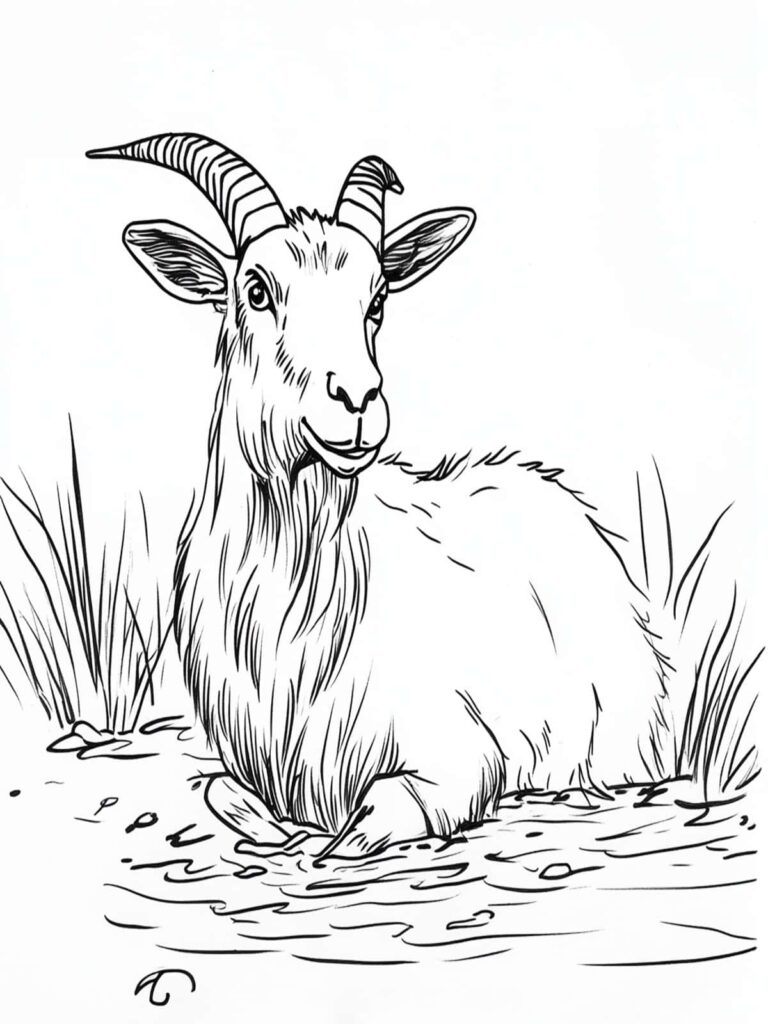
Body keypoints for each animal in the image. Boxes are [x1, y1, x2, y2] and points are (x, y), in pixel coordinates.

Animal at [88, 133, 672, 855]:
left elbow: (366, 821)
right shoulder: (254, 765)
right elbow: (221, 793)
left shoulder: (461, 760)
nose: (358, 398)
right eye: (256, 289)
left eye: (376, 300)